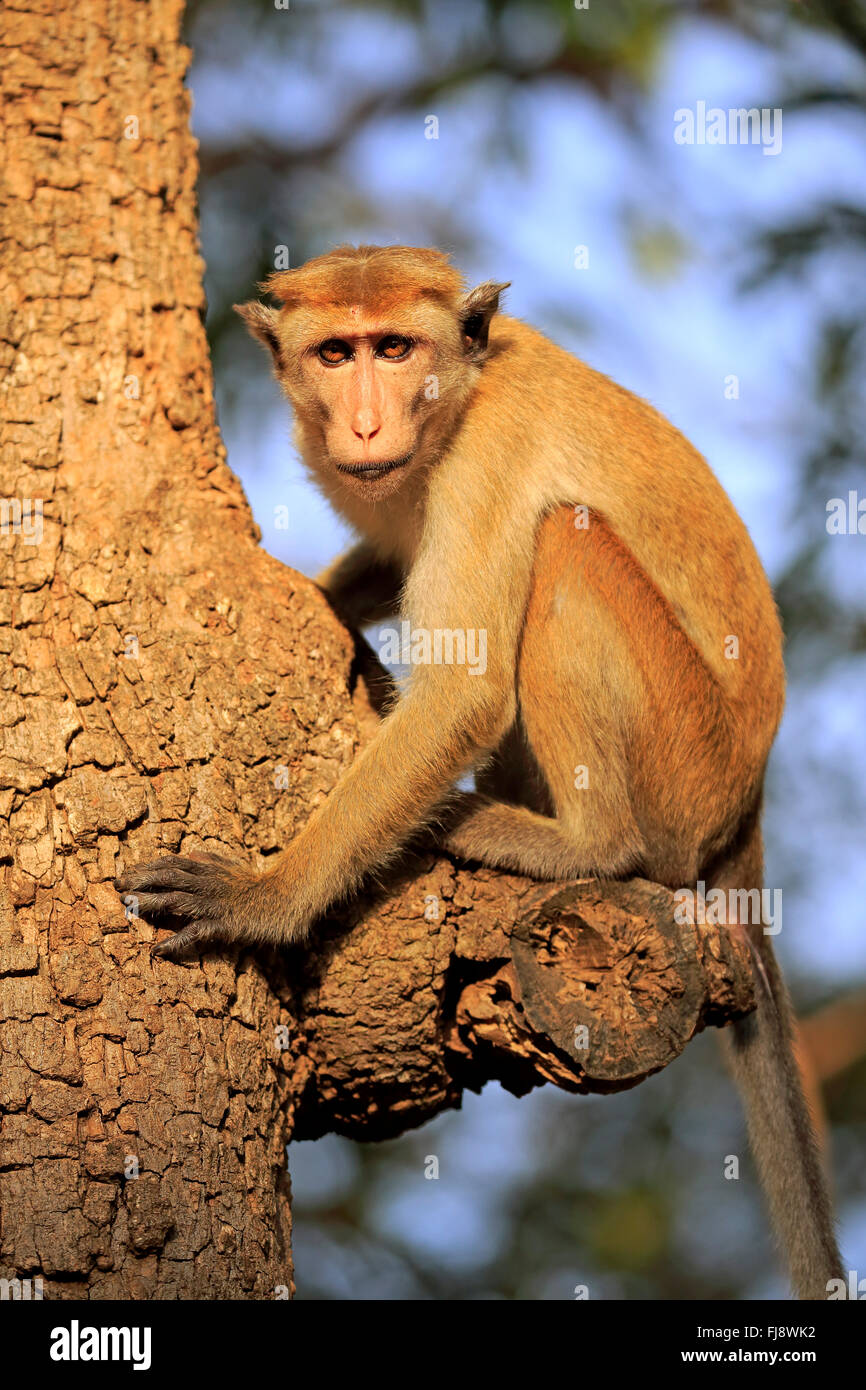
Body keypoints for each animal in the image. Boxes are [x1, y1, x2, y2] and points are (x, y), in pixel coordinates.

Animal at [116, 243, 844, 1299]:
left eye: (394, 348)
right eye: (335, 352)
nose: (365, 421)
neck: (453, 401)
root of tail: (746, 805)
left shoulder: (485, 456)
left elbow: (463, 688)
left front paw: (265, 897)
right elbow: (389, 562)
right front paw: (322, 597)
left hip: (683, 762)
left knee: (564, 542)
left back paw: (572, 842)